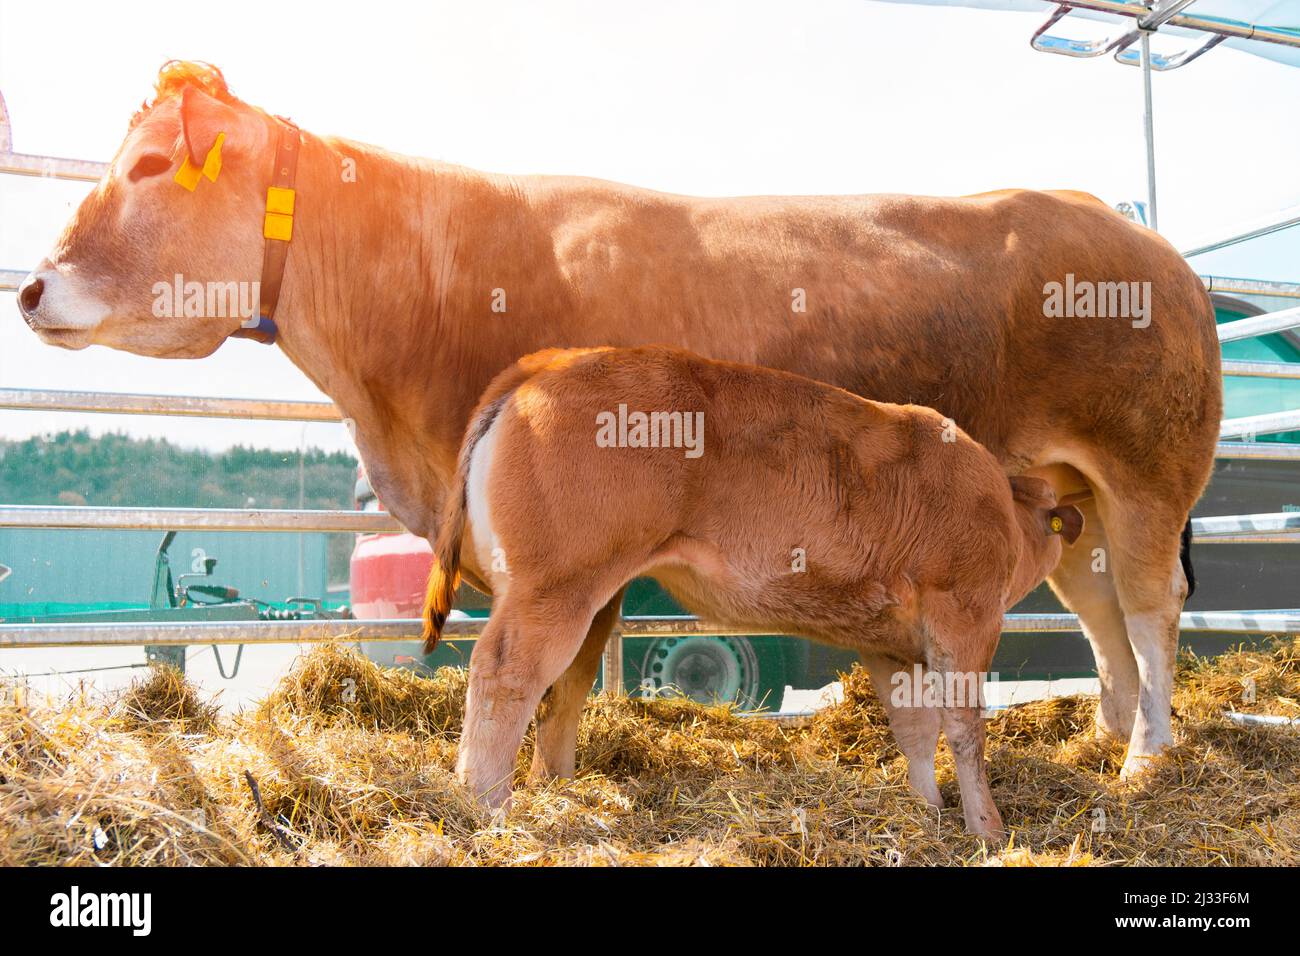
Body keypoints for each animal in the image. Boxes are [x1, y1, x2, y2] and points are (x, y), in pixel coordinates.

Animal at [16, 62, 1222, 784]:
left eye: (154, 164)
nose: (30, 288)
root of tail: (1133, 233)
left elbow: (565, 664)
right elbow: (569, 671)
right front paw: (554, 778)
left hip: (1151, 475)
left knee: (1152, 610)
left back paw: (1147, 759)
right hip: (1060, 496)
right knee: (1098, 612)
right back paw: (1107, 736)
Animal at [420, 345, 1088, 836]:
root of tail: (549, 362)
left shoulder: (888, 644)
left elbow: (914, 731)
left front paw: (928, 812)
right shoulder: (964, 614)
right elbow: (966, 728)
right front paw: (988, 828)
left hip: (579, 595)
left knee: (561, 686)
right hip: (556, 584)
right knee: (505, 673)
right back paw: (485, 803)